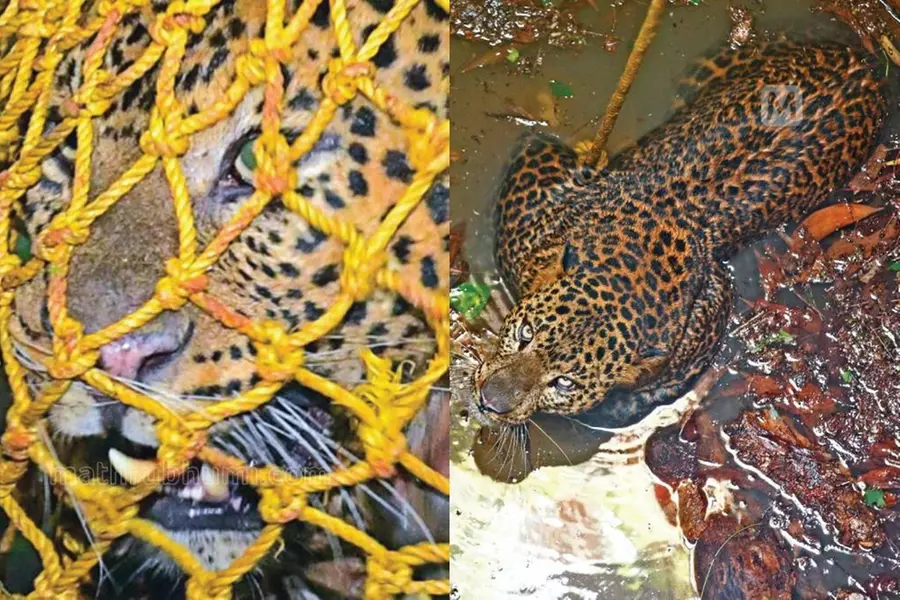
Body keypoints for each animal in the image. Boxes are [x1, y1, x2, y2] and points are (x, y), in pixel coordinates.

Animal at [474, 40, 888, 429]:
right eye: (525, 334)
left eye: (564, 383)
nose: (489, 400)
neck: (635, 263)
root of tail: (865, 62)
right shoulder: (533, 179)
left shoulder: (704, 323)